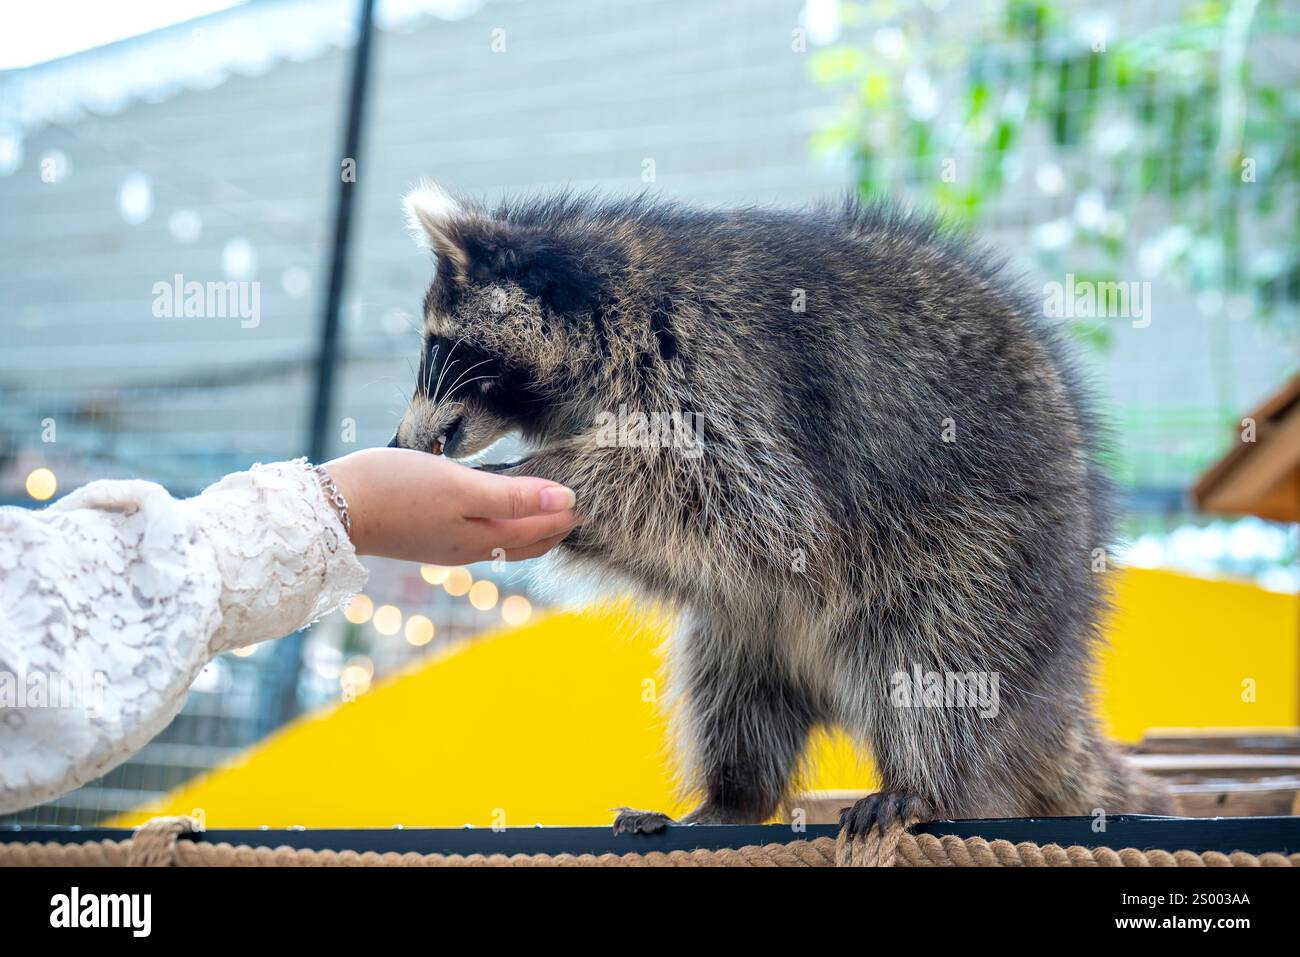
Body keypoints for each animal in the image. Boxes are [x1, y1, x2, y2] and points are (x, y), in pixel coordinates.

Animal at [392, 184, 1175, 834]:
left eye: (436, 347)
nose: (397, 444)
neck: (610, 290)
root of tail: (1060, 675)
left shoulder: (713, 361)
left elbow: (746, 501)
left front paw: (540, 471)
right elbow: (722, 543)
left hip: (991, 551)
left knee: (942, 651)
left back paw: (923, 782)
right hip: (763, 632)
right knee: (730, 673)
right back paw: (736, 794)